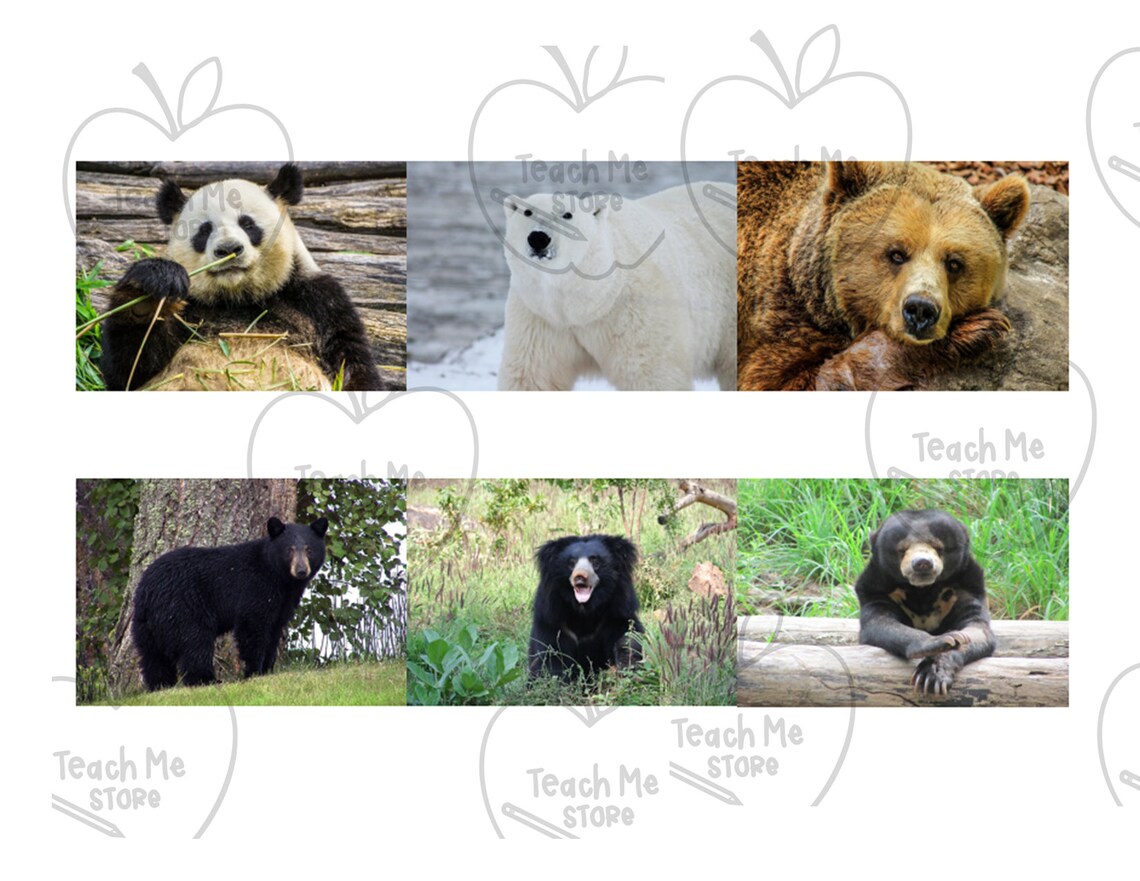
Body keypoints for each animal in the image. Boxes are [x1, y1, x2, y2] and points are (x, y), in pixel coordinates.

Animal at [101, 164, 383, 391]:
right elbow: (130, 370)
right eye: (204, 230)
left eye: (248, 224)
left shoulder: (320, 303)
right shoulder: (193, 310)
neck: (238, 298)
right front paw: (148, 294)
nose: (228, 249)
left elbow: (353, 366)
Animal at [131, 517, 328, 691]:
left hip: (145, 625)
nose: (301, 570)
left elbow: (274, 631)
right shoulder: (255, 588)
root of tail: (147, 591)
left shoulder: (283, 602)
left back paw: (161, 685)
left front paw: (267, 669)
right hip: (183, 608)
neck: (279, 577)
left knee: (152, 657)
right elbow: (252, 627)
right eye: (289, 549)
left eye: (309, 549)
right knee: (195, 643)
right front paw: (254, 672)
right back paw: (207, 680)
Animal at [497, 182, 737, 390]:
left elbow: (652, 374)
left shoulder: (633, 312)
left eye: (567, 214)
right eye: (528, 212)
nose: (538, 238)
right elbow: (533, 376)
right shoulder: (542, 317)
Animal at [529, 534, 645, 679]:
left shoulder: (617, 612)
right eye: (571, 563)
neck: (585, 610)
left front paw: (626, 663)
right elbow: (551, 653)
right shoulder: (552, 619)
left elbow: (627, 635)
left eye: (595, 562)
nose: (580, 577)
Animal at [855, 510, 996, 695]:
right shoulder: (878, 591)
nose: (922, 563)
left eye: (938, 547)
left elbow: (976, 630)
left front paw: (932, 674)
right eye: (902, 550)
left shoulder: (964, 589)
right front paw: (940, 641)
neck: (922, 590)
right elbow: (880, 623)